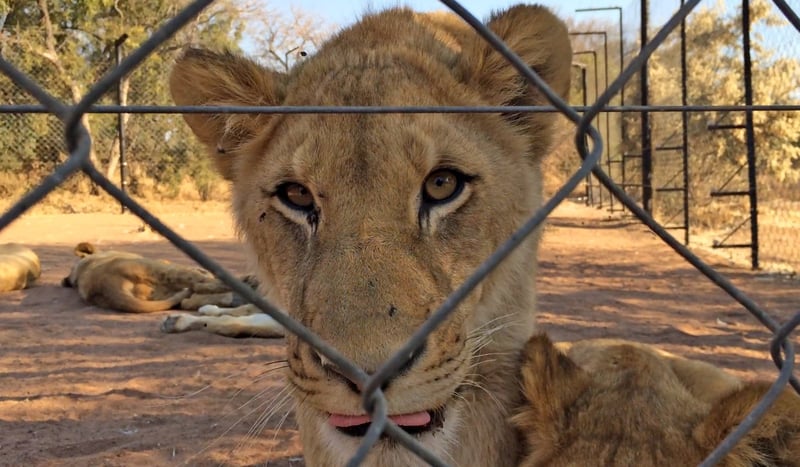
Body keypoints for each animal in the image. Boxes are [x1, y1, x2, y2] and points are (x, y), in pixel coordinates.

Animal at [62, 242, 237, 313]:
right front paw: (203, 270)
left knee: (189, 296)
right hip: (153, 267)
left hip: (156, 291)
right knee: (197, 283)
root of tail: (105, 286)